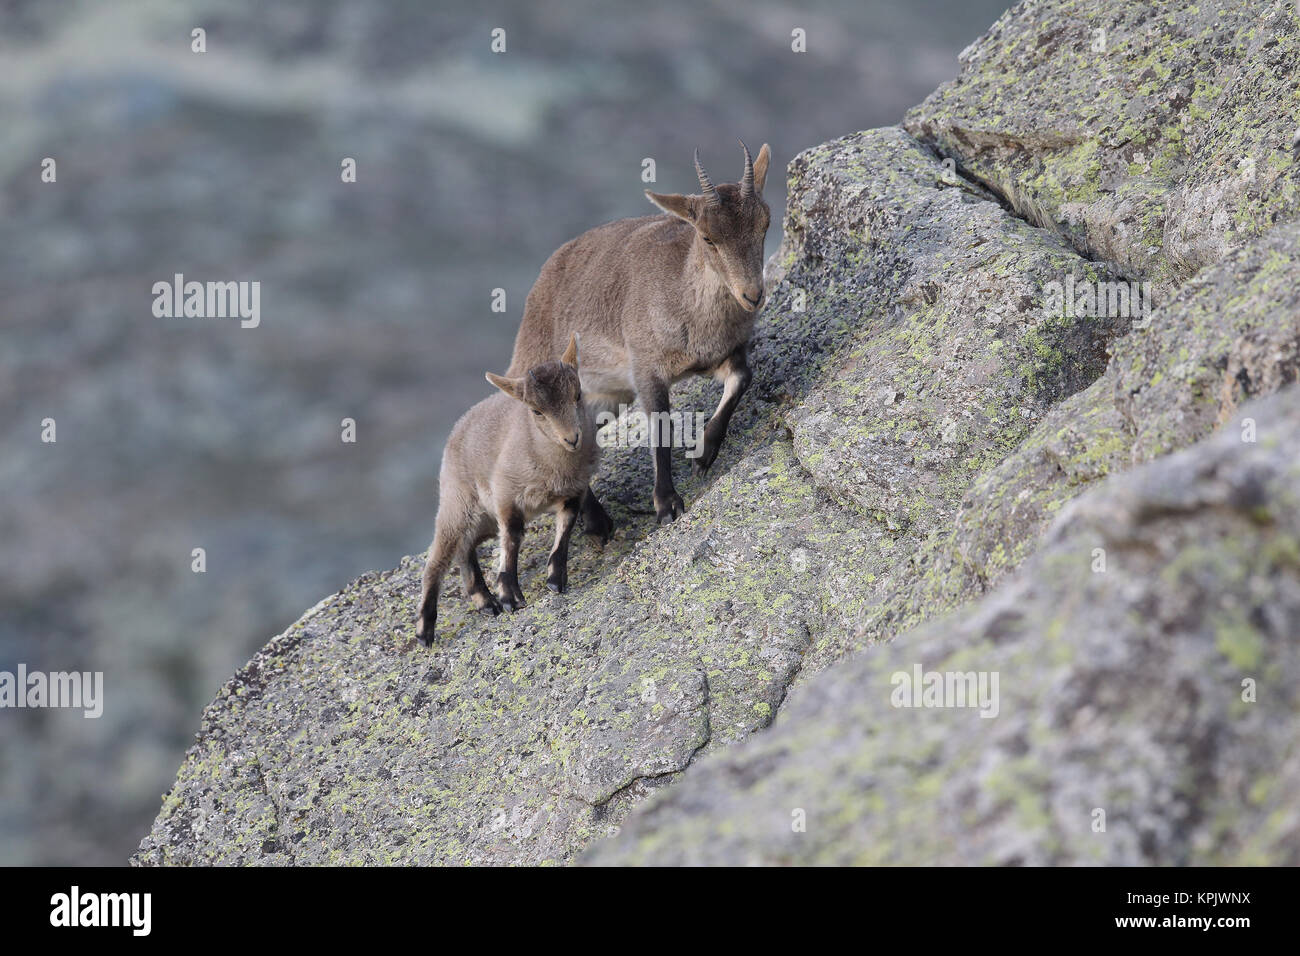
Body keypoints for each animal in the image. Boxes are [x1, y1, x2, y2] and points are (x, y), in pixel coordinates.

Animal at [415, 334, 597, 646]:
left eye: (577, 394)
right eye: (536, 411)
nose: (572, 439)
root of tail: (458, 428)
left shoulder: (573, 492)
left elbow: (565, 528)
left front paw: (555, 578)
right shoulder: (506, 496)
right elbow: (512, 538)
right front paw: (510, 596)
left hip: (482, 519)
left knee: (464, 547)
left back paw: (484, 601)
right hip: (457, 503)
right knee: (438, 560)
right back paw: (425, 630)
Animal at [506, 141, 772, 524]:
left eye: (765, 224)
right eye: (708, 237)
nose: (752, 295)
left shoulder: (723, 355)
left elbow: (742, 379)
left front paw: (703, 453)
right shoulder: (646, 368)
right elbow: (660, 429)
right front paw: (666, 504)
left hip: (604, 400)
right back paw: (596, 521)